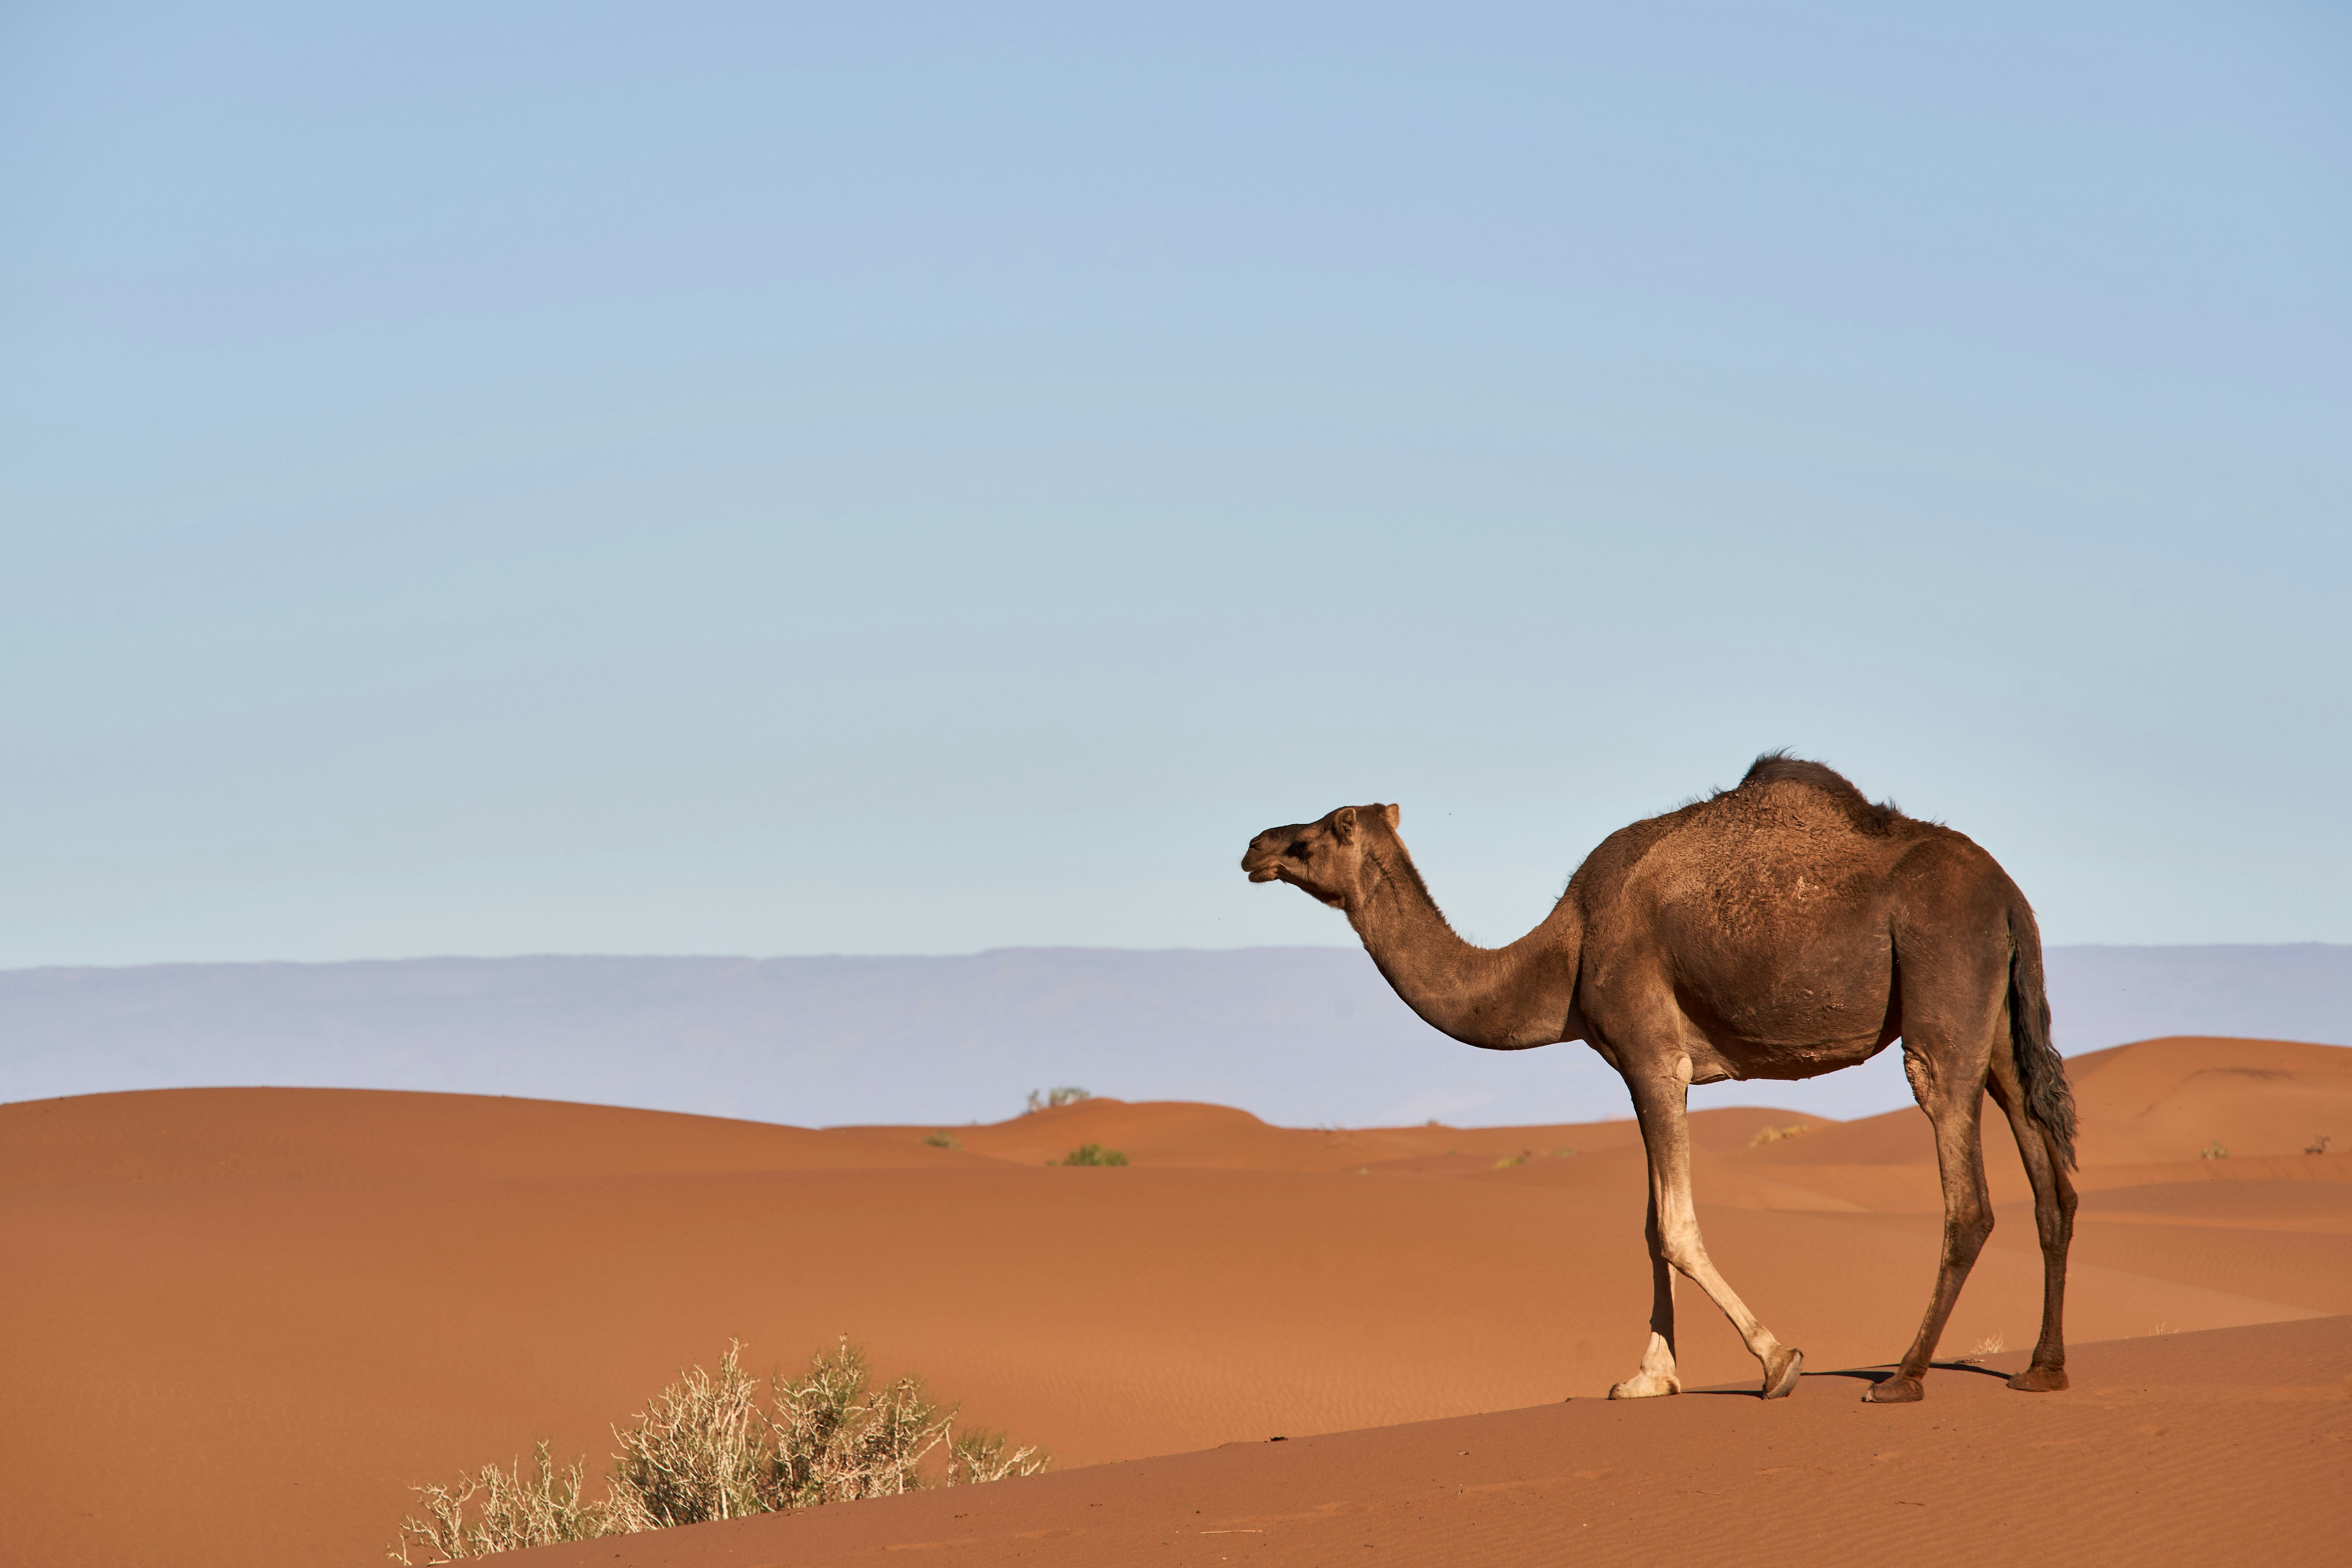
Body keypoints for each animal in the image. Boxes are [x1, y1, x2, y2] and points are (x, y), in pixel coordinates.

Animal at [1241, 754, 2077, 1404]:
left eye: (1323, 829)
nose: (1254, 845)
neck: (1565, 949)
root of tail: (2009, 897)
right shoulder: (1639, 1067)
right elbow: (1649, 1227)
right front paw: (1648, 1376)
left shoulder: (1651, 1053)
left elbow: (1673, 1228)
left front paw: (1777, 1361)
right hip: (1998, 1032)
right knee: (2051, 1184)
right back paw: (2041, 1369)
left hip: (1940, 992)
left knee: (1967, 1198)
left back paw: (1901, 1376)